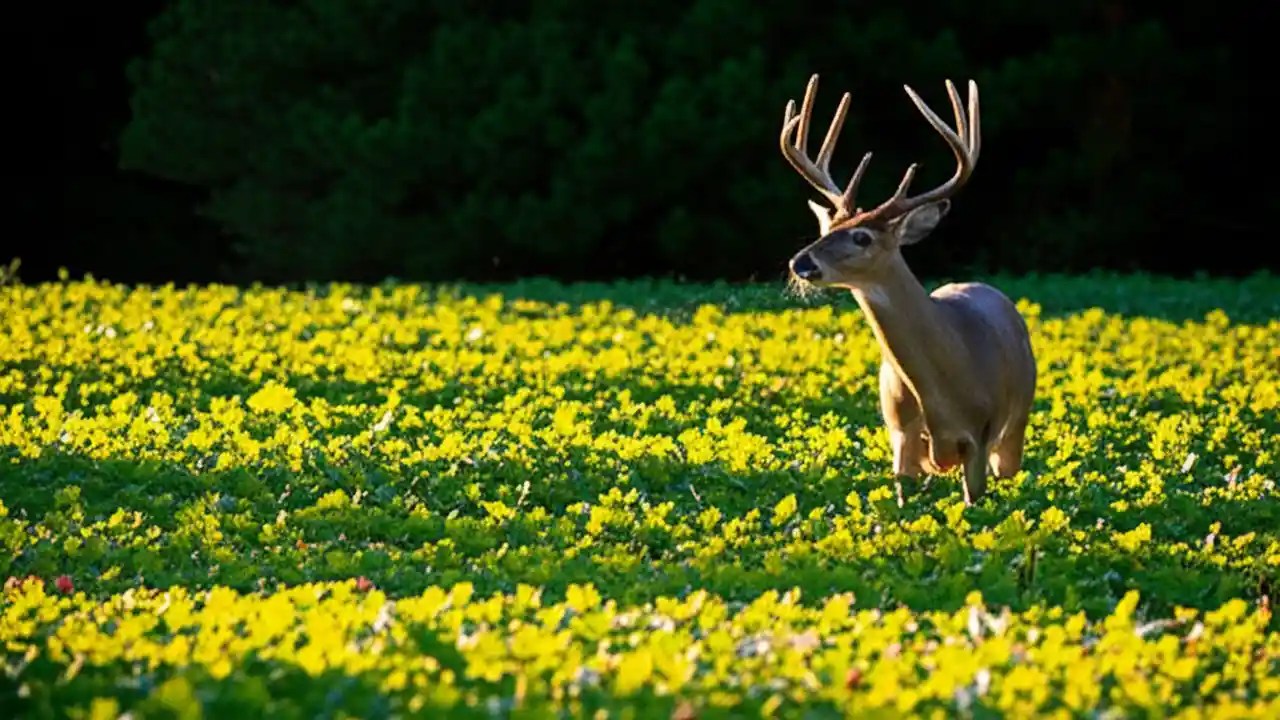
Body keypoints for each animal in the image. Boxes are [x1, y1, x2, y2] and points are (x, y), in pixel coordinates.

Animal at [778, 74, 1036, 507]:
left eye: (862, 237)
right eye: (827, 229)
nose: (801, 263)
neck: (942, 393)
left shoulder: (981, 438)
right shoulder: (900, 434)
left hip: (1015, 426)